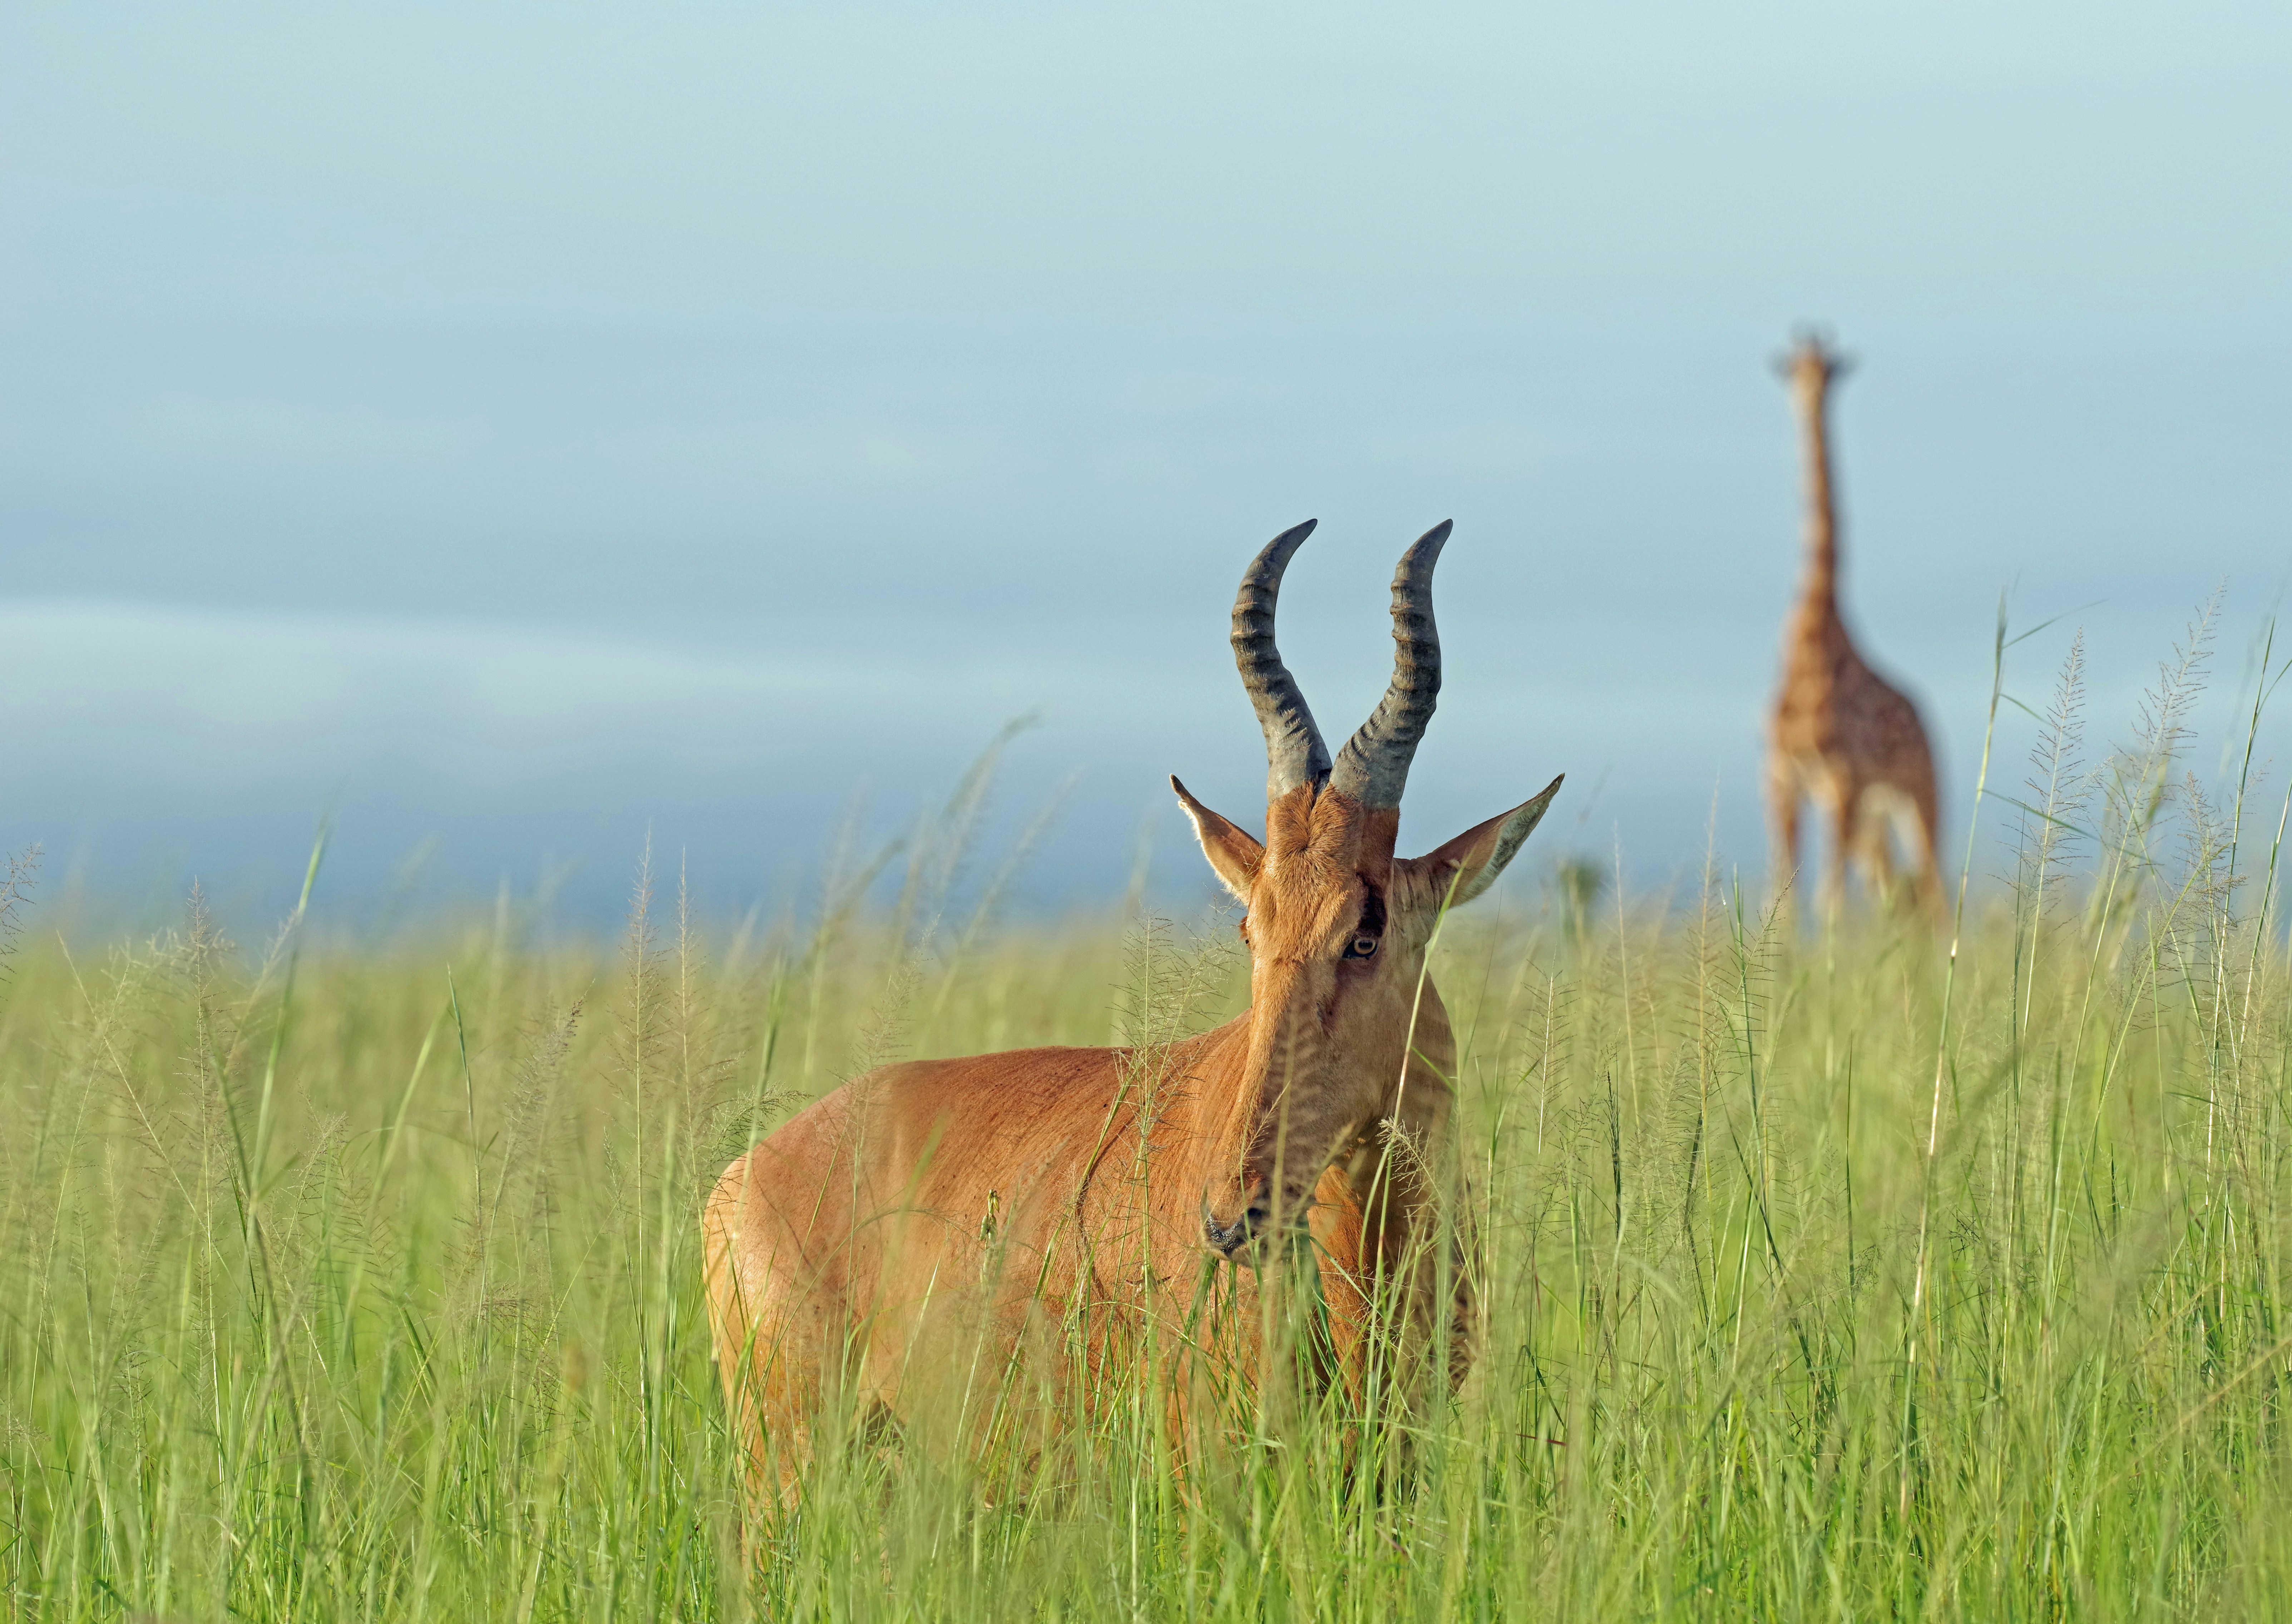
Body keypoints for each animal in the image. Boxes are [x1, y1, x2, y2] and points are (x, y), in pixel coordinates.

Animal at [1765, 331, 1942, 915]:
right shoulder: (1783, 777)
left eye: (1829, 371)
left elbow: (1829, 900)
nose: (1810, 394)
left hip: (1919, 791)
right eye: (1795, 370)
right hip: (1876, 807)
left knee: (1933, 886)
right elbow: (1782, 892)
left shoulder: (1840, 779)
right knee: (1892, 886)